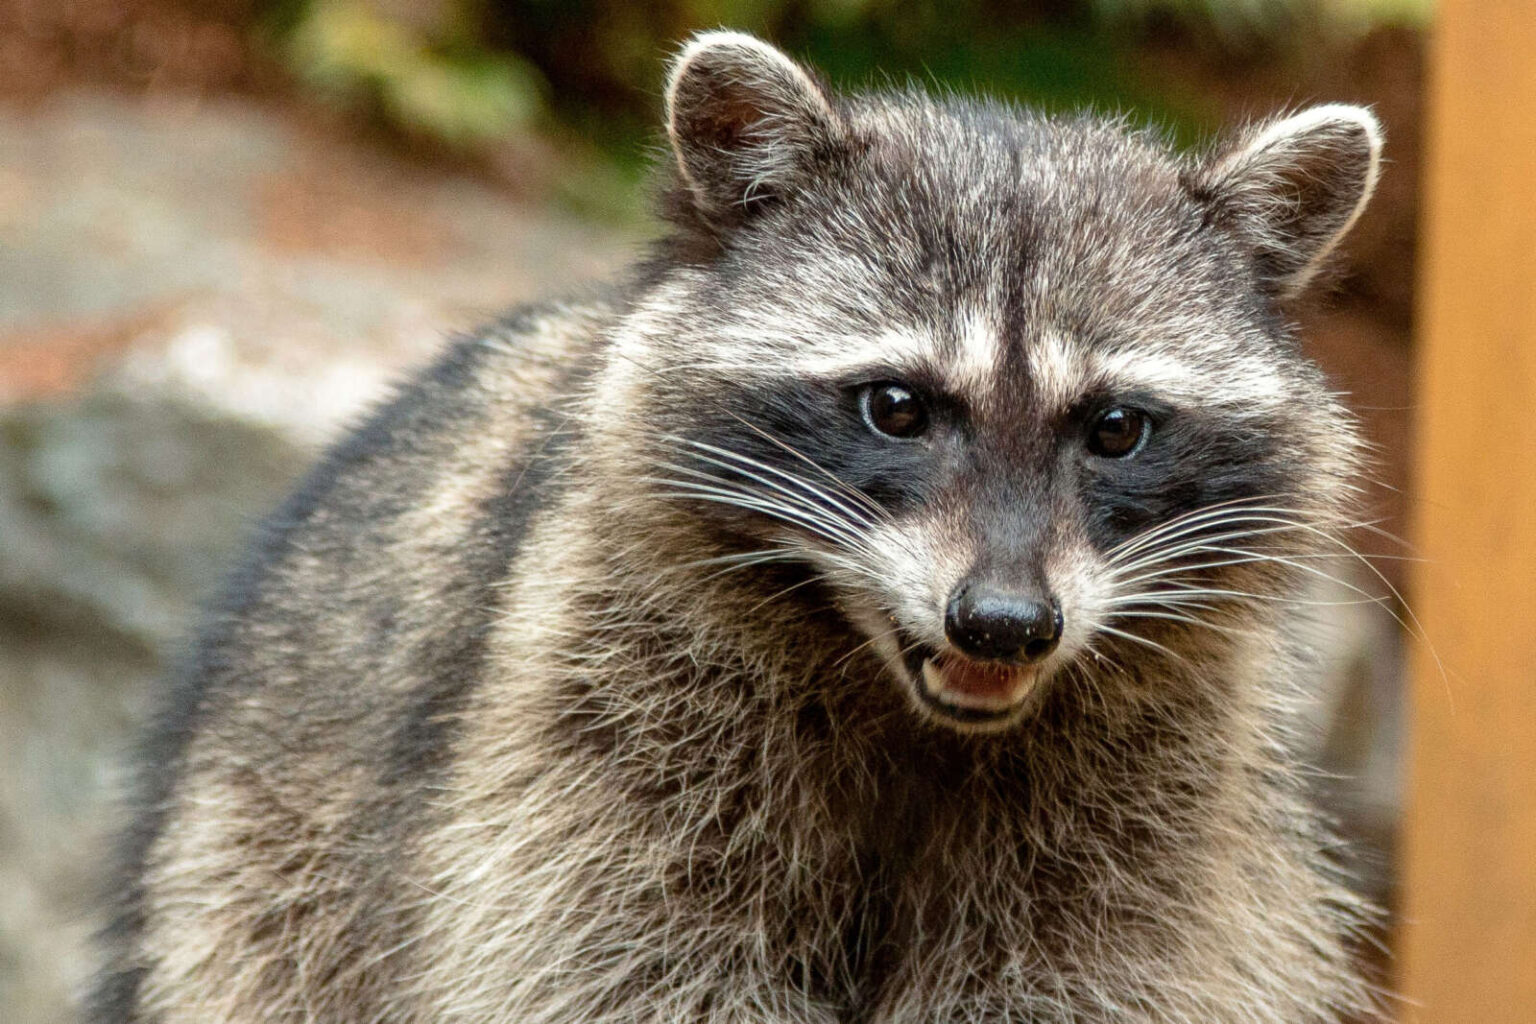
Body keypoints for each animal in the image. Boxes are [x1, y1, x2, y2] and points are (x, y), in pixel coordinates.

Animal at [95, 30, 1385, 1024]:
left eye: (1116, 428)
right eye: (897, 407)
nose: (1007, 623)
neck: (910, 704)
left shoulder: (1157, 800)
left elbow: (1079, 971)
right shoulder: (596, 725)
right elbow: (620, 961)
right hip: (250, 883)